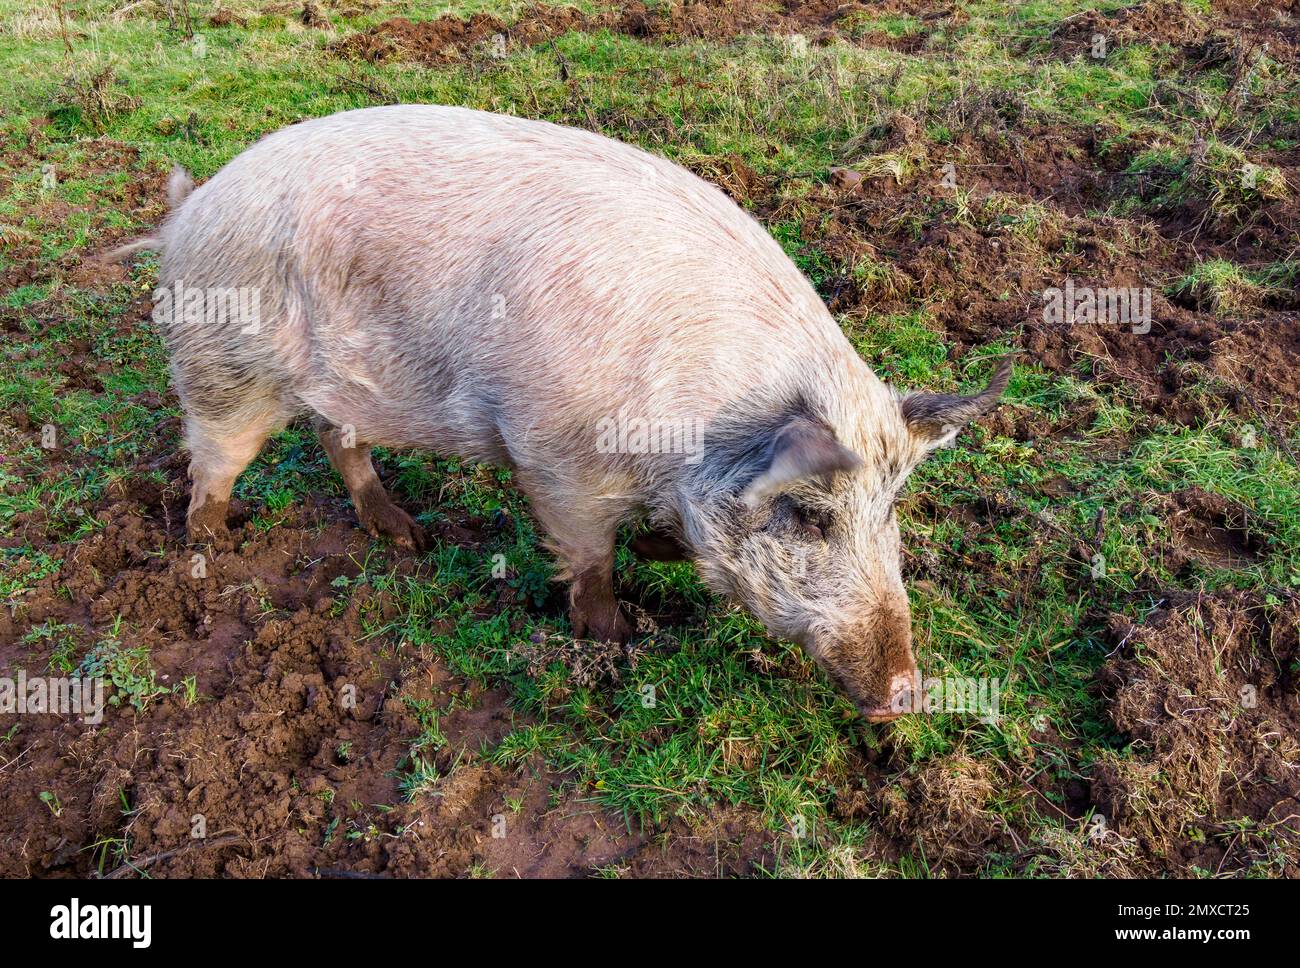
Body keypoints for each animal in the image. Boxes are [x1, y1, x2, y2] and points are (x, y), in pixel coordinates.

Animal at [114, 105, 1011, 721]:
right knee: (211, 461)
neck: (690, 434)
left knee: (340, 441)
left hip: (338, 385)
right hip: (223, 368)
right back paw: (211, 549)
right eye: (808, 516)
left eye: (890, 512)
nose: (906, 693)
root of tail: (188, 210)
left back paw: (407, 536)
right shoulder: (556, 458)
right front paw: (616, 637)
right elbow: (588, 558)